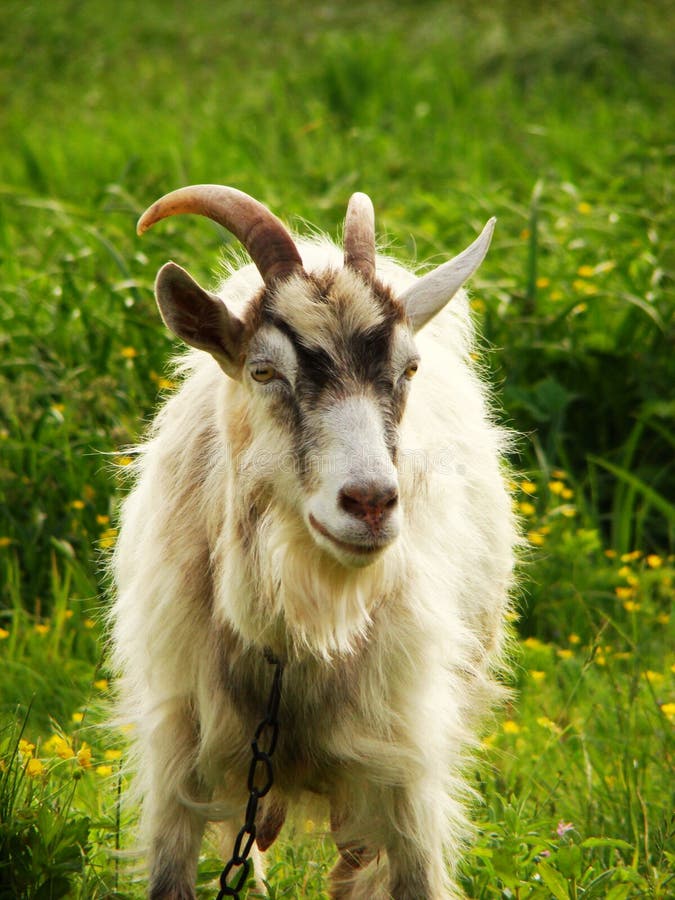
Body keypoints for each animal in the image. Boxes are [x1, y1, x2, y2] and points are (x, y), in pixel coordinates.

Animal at [109, 185, 517, 899]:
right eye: (263, 371)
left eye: (409, 368)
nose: (371, 503)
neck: (291, 639)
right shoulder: (175, 757)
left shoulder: (406, 763)